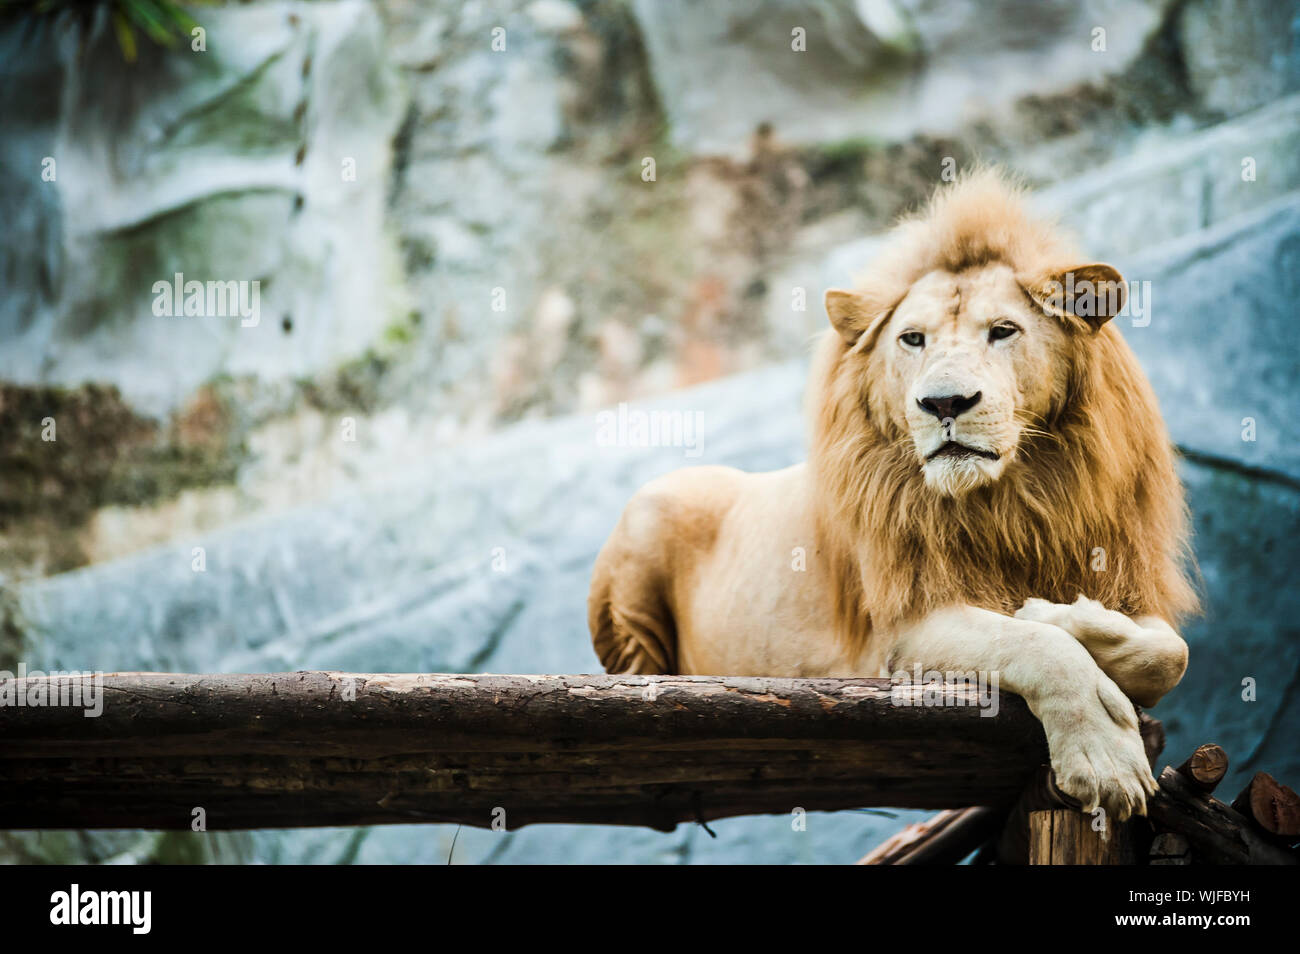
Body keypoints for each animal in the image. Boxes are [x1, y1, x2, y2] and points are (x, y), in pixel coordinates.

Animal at [588, 169, 1198, 821]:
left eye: (1003, 331)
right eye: (912, 339)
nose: (944, 401)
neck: (1012, 499)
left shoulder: (1124, 573)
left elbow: (1170, 653)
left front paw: (1067, 614)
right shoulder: (904, 628)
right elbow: (1038, 645)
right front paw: (1105, 756)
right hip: (650, 514)